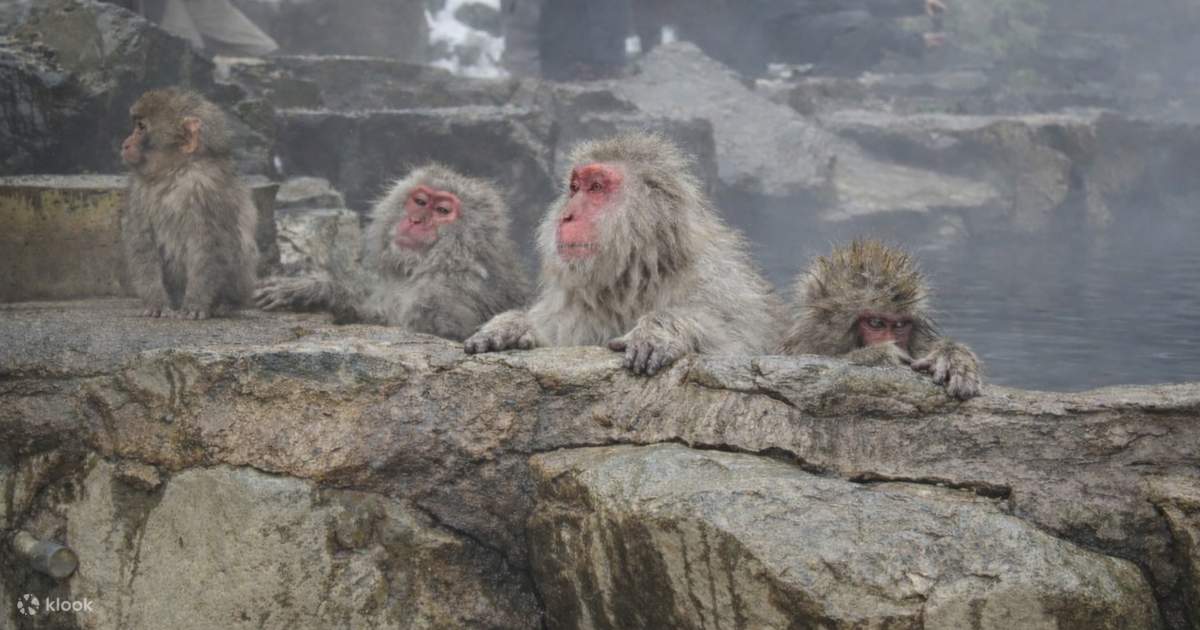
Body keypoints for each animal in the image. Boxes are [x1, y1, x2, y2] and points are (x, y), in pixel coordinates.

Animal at [121, 88, 259, 320]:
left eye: (140, 127)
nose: (126, 143)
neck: (173, 173)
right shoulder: (139, 193)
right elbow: (142, 242)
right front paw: (156, 302)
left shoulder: (207, 191)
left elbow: (210, 246)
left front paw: (196, 303)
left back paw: (225, 305)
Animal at [254, 164, 530, 342]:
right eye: (420, 202)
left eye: (442, 210)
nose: (416, 220)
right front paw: (313, 288)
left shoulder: (455, 289)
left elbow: (440, 331)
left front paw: (328, 292)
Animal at [464, 132, 786, 376]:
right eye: (575, 188)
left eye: (596, 187)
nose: (566, 216)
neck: (636, 274)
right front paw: (513, 326)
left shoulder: (721, 287)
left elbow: (736, 346)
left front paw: (657, 331)